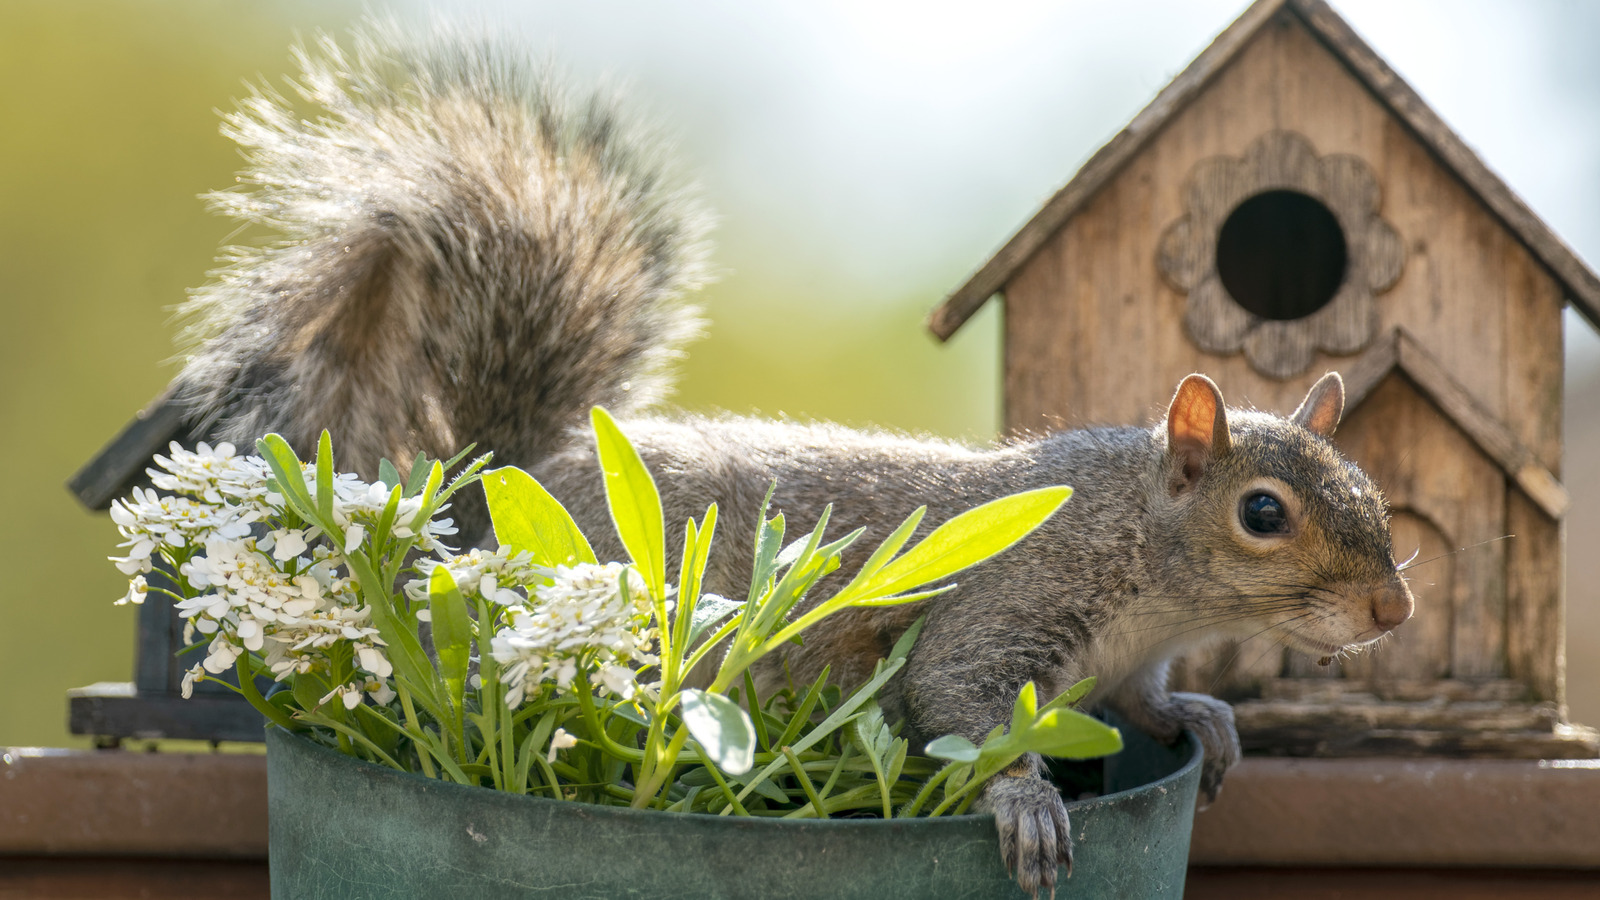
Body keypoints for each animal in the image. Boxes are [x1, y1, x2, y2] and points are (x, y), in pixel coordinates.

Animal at [168, 23, 1414, 897]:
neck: (1145, 570)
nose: (1393, 611)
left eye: (1372, 495)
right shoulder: (1011, 600)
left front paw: (1202, 718)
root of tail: (477, 504)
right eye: (1264, 514)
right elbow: (958, 701)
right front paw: (1025, 804)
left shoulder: (1122, 665)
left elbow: (1142, 704)